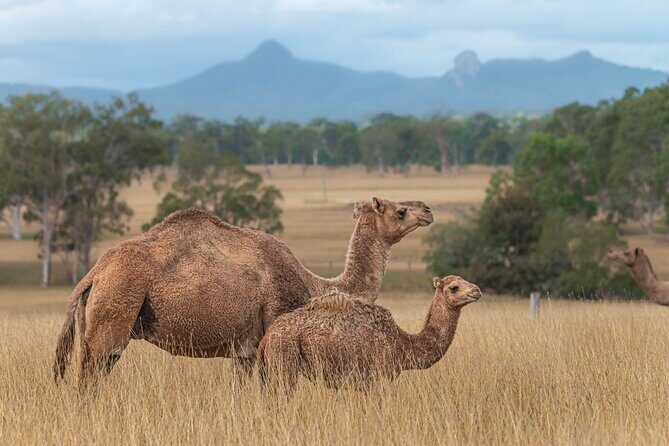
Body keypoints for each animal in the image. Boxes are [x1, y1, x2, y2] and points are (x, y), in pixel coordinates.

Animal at [53, 197, 433, 388]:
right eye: (400, 210)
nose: (428, 210)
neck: (314, 286)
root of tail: (93, 275)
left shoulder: (245, 350)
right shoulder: (271, 332)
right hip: (115, 310)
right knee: (92, 375)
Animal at [257, 275, 481, 391]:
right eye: (454, 287)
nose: (476, 290)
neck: (403, 343)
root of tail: (268, 336)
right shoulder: (379, 378)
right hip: (284, 362)